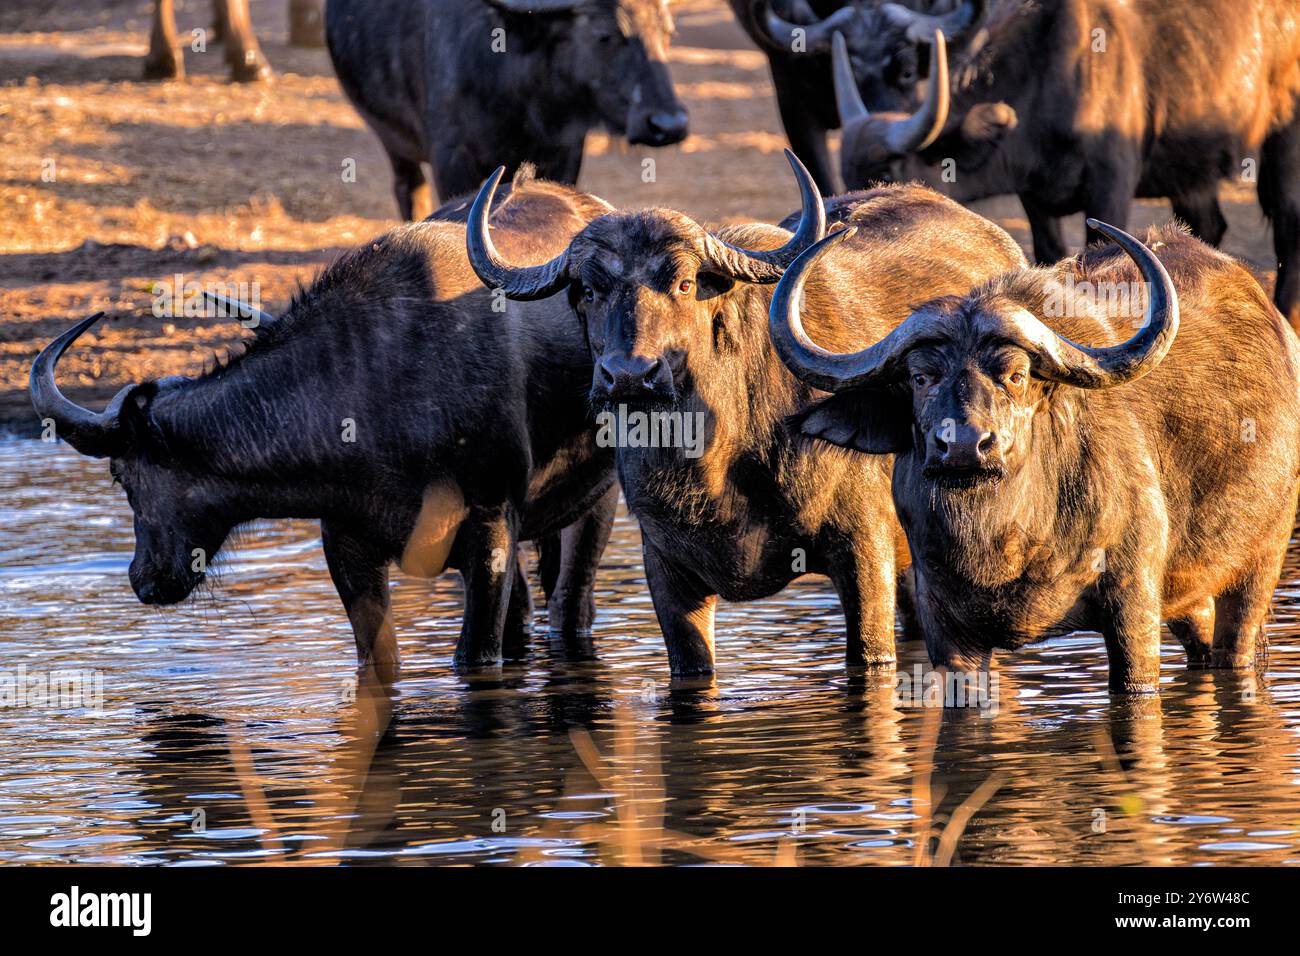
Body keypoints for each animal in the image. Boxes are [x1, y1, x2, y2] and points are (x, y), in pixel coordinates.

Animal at [29, 171, 619, 672]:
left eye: (120, 476)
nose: (143, 579)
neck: (373, 387)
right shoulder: (345, 544)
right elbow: (377, 661)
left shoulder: (491, 529)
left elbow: (475, 657)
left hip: (598, 503)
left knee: (569, 607)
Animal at [327, 0, 689, 219]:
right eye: (606, 35)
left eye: (668, 31)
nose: (669, 125)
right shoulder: (452, 160)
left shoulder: (565, 152)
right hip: (391, 139)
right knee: (409, 188)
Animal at [466, 150, 1025, 675]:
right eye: (587, 290)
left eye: (684, 283)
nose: (628, 375)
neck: (716, 458)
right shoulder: (666, 569)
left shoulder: (865, 552)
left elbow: (870, 654)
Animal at [770, 218, 1300, 693]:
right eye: (921, 377)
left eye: (1016, 375)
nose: (963, 445)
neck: (1007, 540)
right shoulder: (947, 629)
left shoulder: (1132, 606)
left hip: (1262, 559)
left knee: (1236, 644)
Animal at [830, 0, 1300, 330]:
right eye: (848, 179)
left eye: (888, 172)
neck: (1047, 72)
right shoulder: (1034, 197)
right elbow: (1049, 254)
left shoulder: (1111, 187)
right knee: (1209, 225)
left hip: (1284, 138)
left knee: (1288, 224)